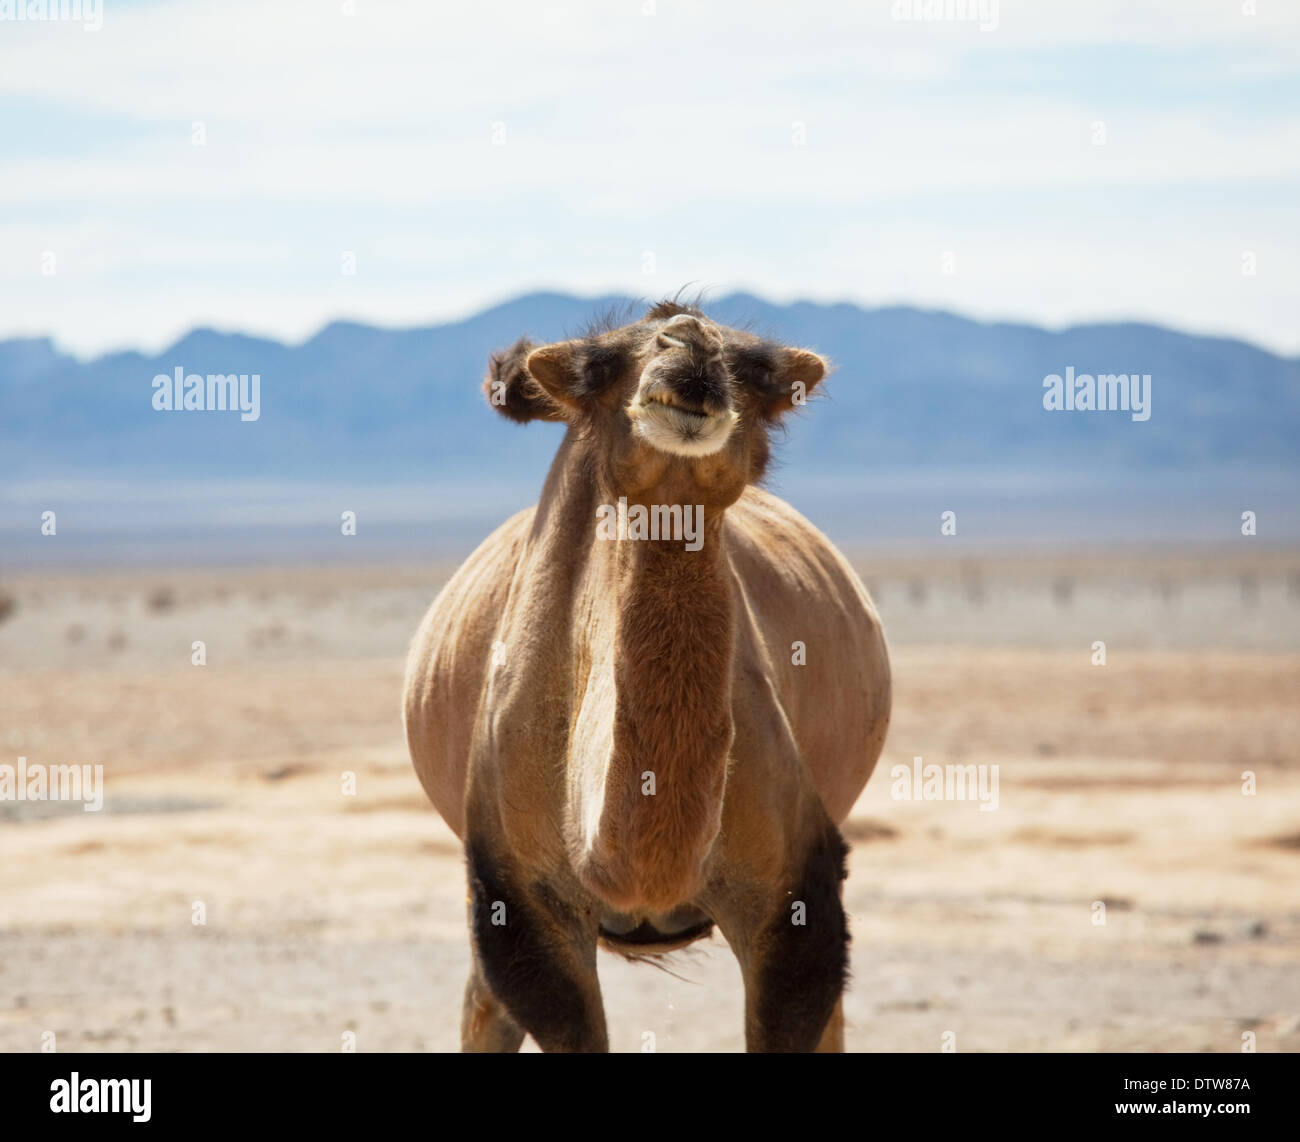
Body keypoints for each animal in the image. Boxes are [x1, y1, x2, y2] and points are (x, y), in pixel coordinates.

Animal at [403, 300, 891, 1052]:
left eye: (759, 374)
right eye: (599, 366)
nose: (688, 342)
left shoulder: (794, 893)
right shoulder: (521, 901)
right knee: (483, 1001)